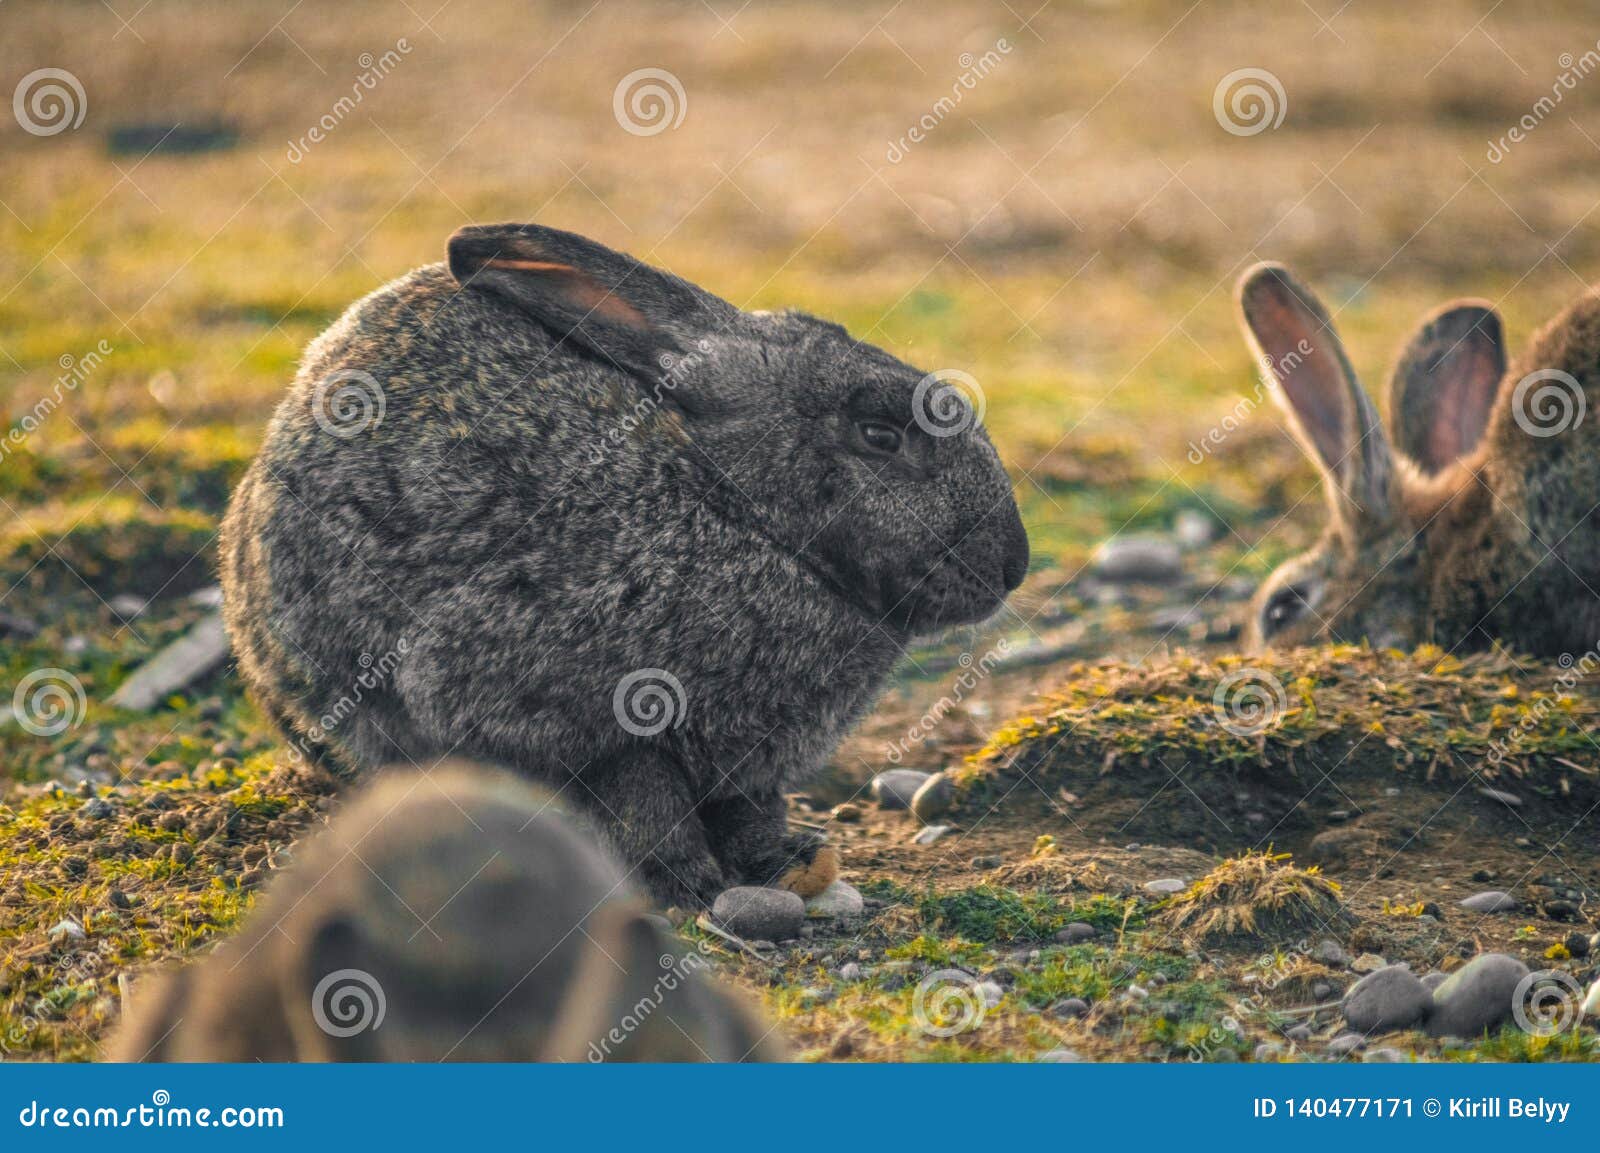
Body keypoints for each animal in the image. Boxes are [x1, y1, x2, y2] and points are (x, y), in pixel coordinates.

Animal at [219, 221, 1029, 909]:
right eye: (879, 434)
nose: (1013, 565)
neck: (741, 509)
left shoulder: (747, 768)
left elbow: (750, 811)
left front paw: (790, 863)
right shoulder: (580, 718)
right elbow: (646, 799)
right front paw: (689, 883)